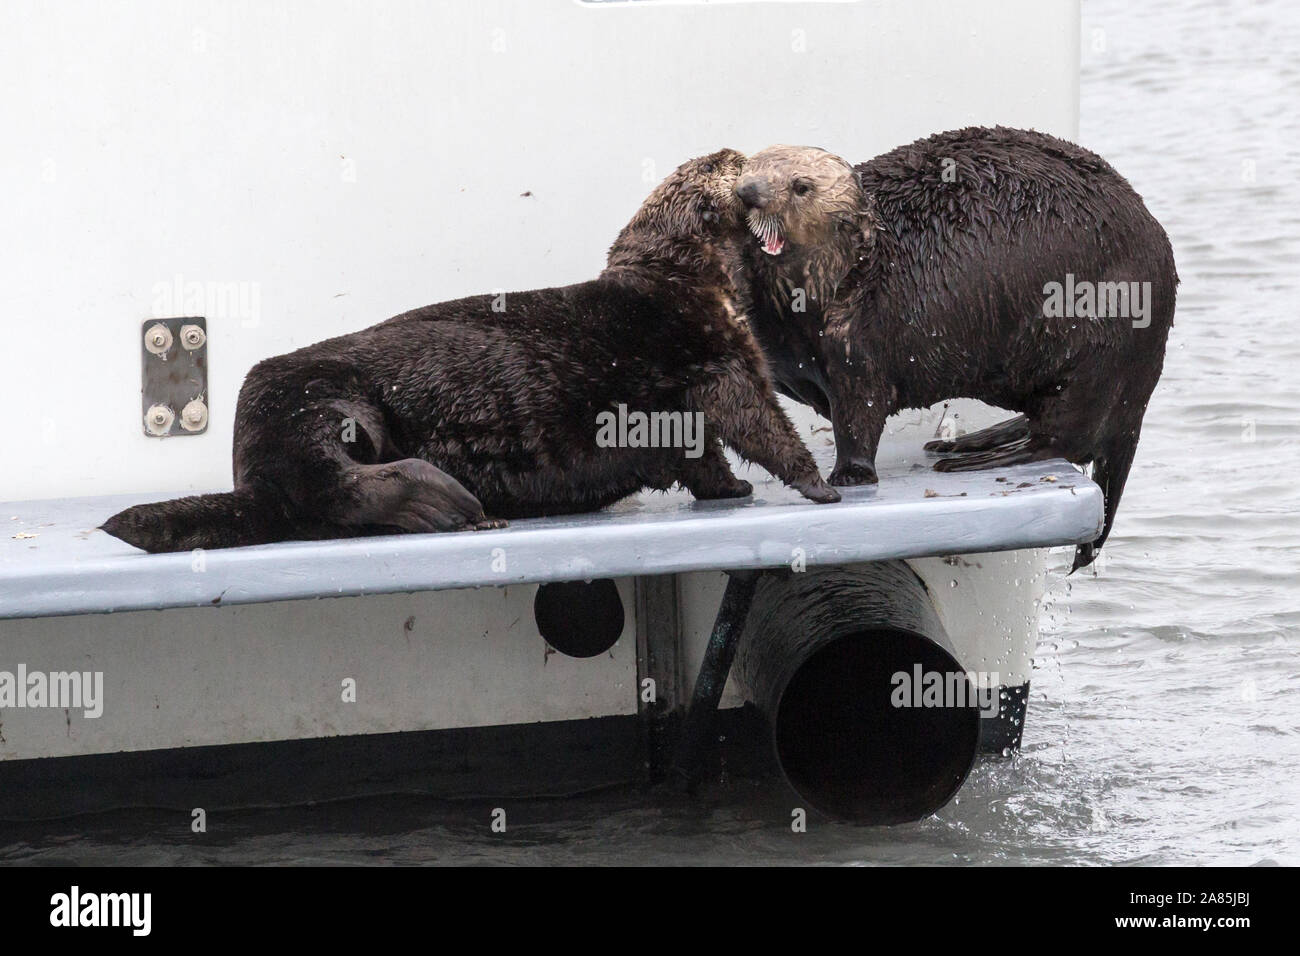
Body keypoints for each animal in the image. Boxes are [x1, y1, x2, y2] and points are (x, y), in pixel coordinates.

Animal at [102, 149, 839, 553]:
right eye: (722, 166)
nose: (738, 153)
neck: (677, 276)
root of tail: (254, 485)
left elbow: (703, 452)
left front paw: (732, 487)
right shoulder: (717, 352)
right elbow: (756, 421)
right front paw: (820, 486)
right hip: (306, 397)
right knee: (332, 482)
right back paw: (453, 505)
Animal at [732, 128, 1177, 570]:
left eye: (800, 186)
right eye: (747, 168)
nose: (747, 193)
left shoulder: (857, 346)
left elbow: (860, 415)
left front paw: (849, 475)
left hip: (1099, 350)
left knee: (1066, 437)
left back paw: (970, 458)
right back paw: (971, 440)